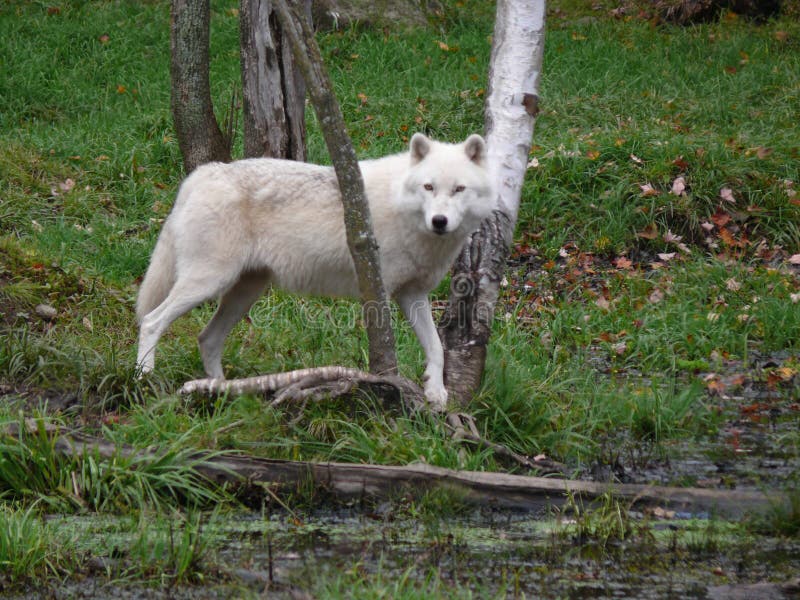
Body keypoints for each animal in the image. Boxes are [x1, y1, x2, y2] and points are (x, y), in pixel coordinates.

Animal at [135, 133, 494, 409]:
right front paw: (384, 382)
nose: (439, 221)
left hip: (243, 292)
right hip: (207, 283)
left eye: (459, 189)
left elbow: (436, 348)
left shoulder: (413, 294)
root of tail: (203, 174)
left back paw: (219, 390)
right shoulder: (379, 291)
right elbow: (385, 343)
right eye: (429, 187)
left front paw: (436, 392)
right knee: (151, 321)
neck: (406, 213)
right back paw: (144, 377)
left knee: (207, 339)